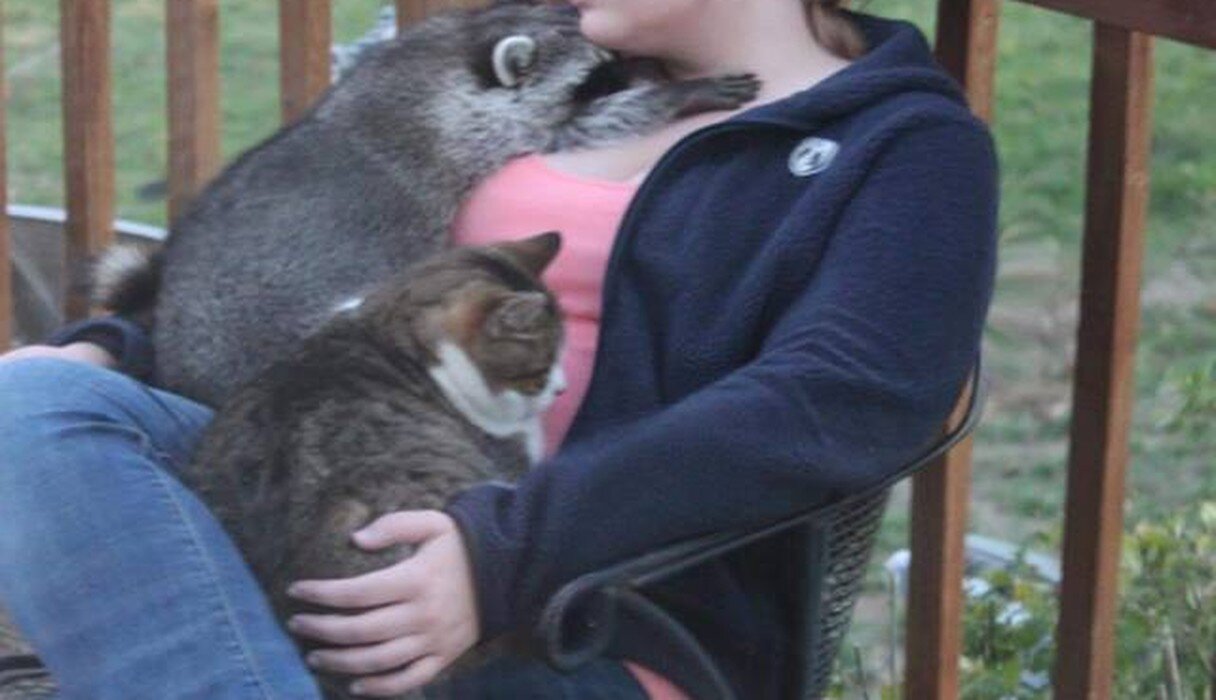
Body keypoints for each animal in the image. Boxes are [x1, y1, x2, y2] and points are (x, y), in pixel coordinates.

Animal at [98, 0, 759, 407]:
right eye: (601, 75)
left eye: (617, 60)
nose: (653, 70)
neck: (459, 53)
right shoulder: (472, 133)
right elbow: (584, 128)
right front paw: (679, 94)